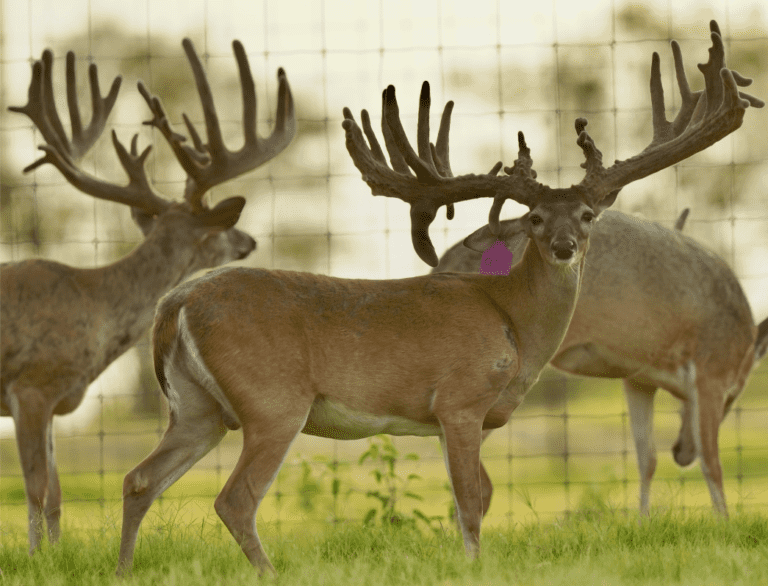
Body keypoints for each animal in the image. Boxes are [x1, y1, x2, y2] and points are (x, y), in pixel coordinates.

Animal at [0, 39, 295, 554]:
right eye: (222, 228)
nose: (249, 241)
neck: (93, 306)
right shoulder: (31, 385)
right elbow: (36, 488)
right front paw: (37, 559)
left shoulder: (56, 401)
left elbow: (55, 493)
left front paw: (56, 557)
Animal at [115, 21, 760, 576]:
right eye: (534, 219)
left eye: (585, 214)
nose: (563, 246)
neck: (512, 320)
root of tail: (175, 305)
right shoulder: (460, 401)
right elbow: (470, 503)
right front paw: (474, 567)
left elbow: (471, 501)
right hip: (272, 401)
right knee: (235, 499)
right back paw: (269, 573)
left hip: (198, 409)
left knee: (139, 479)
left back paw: (123, 571)